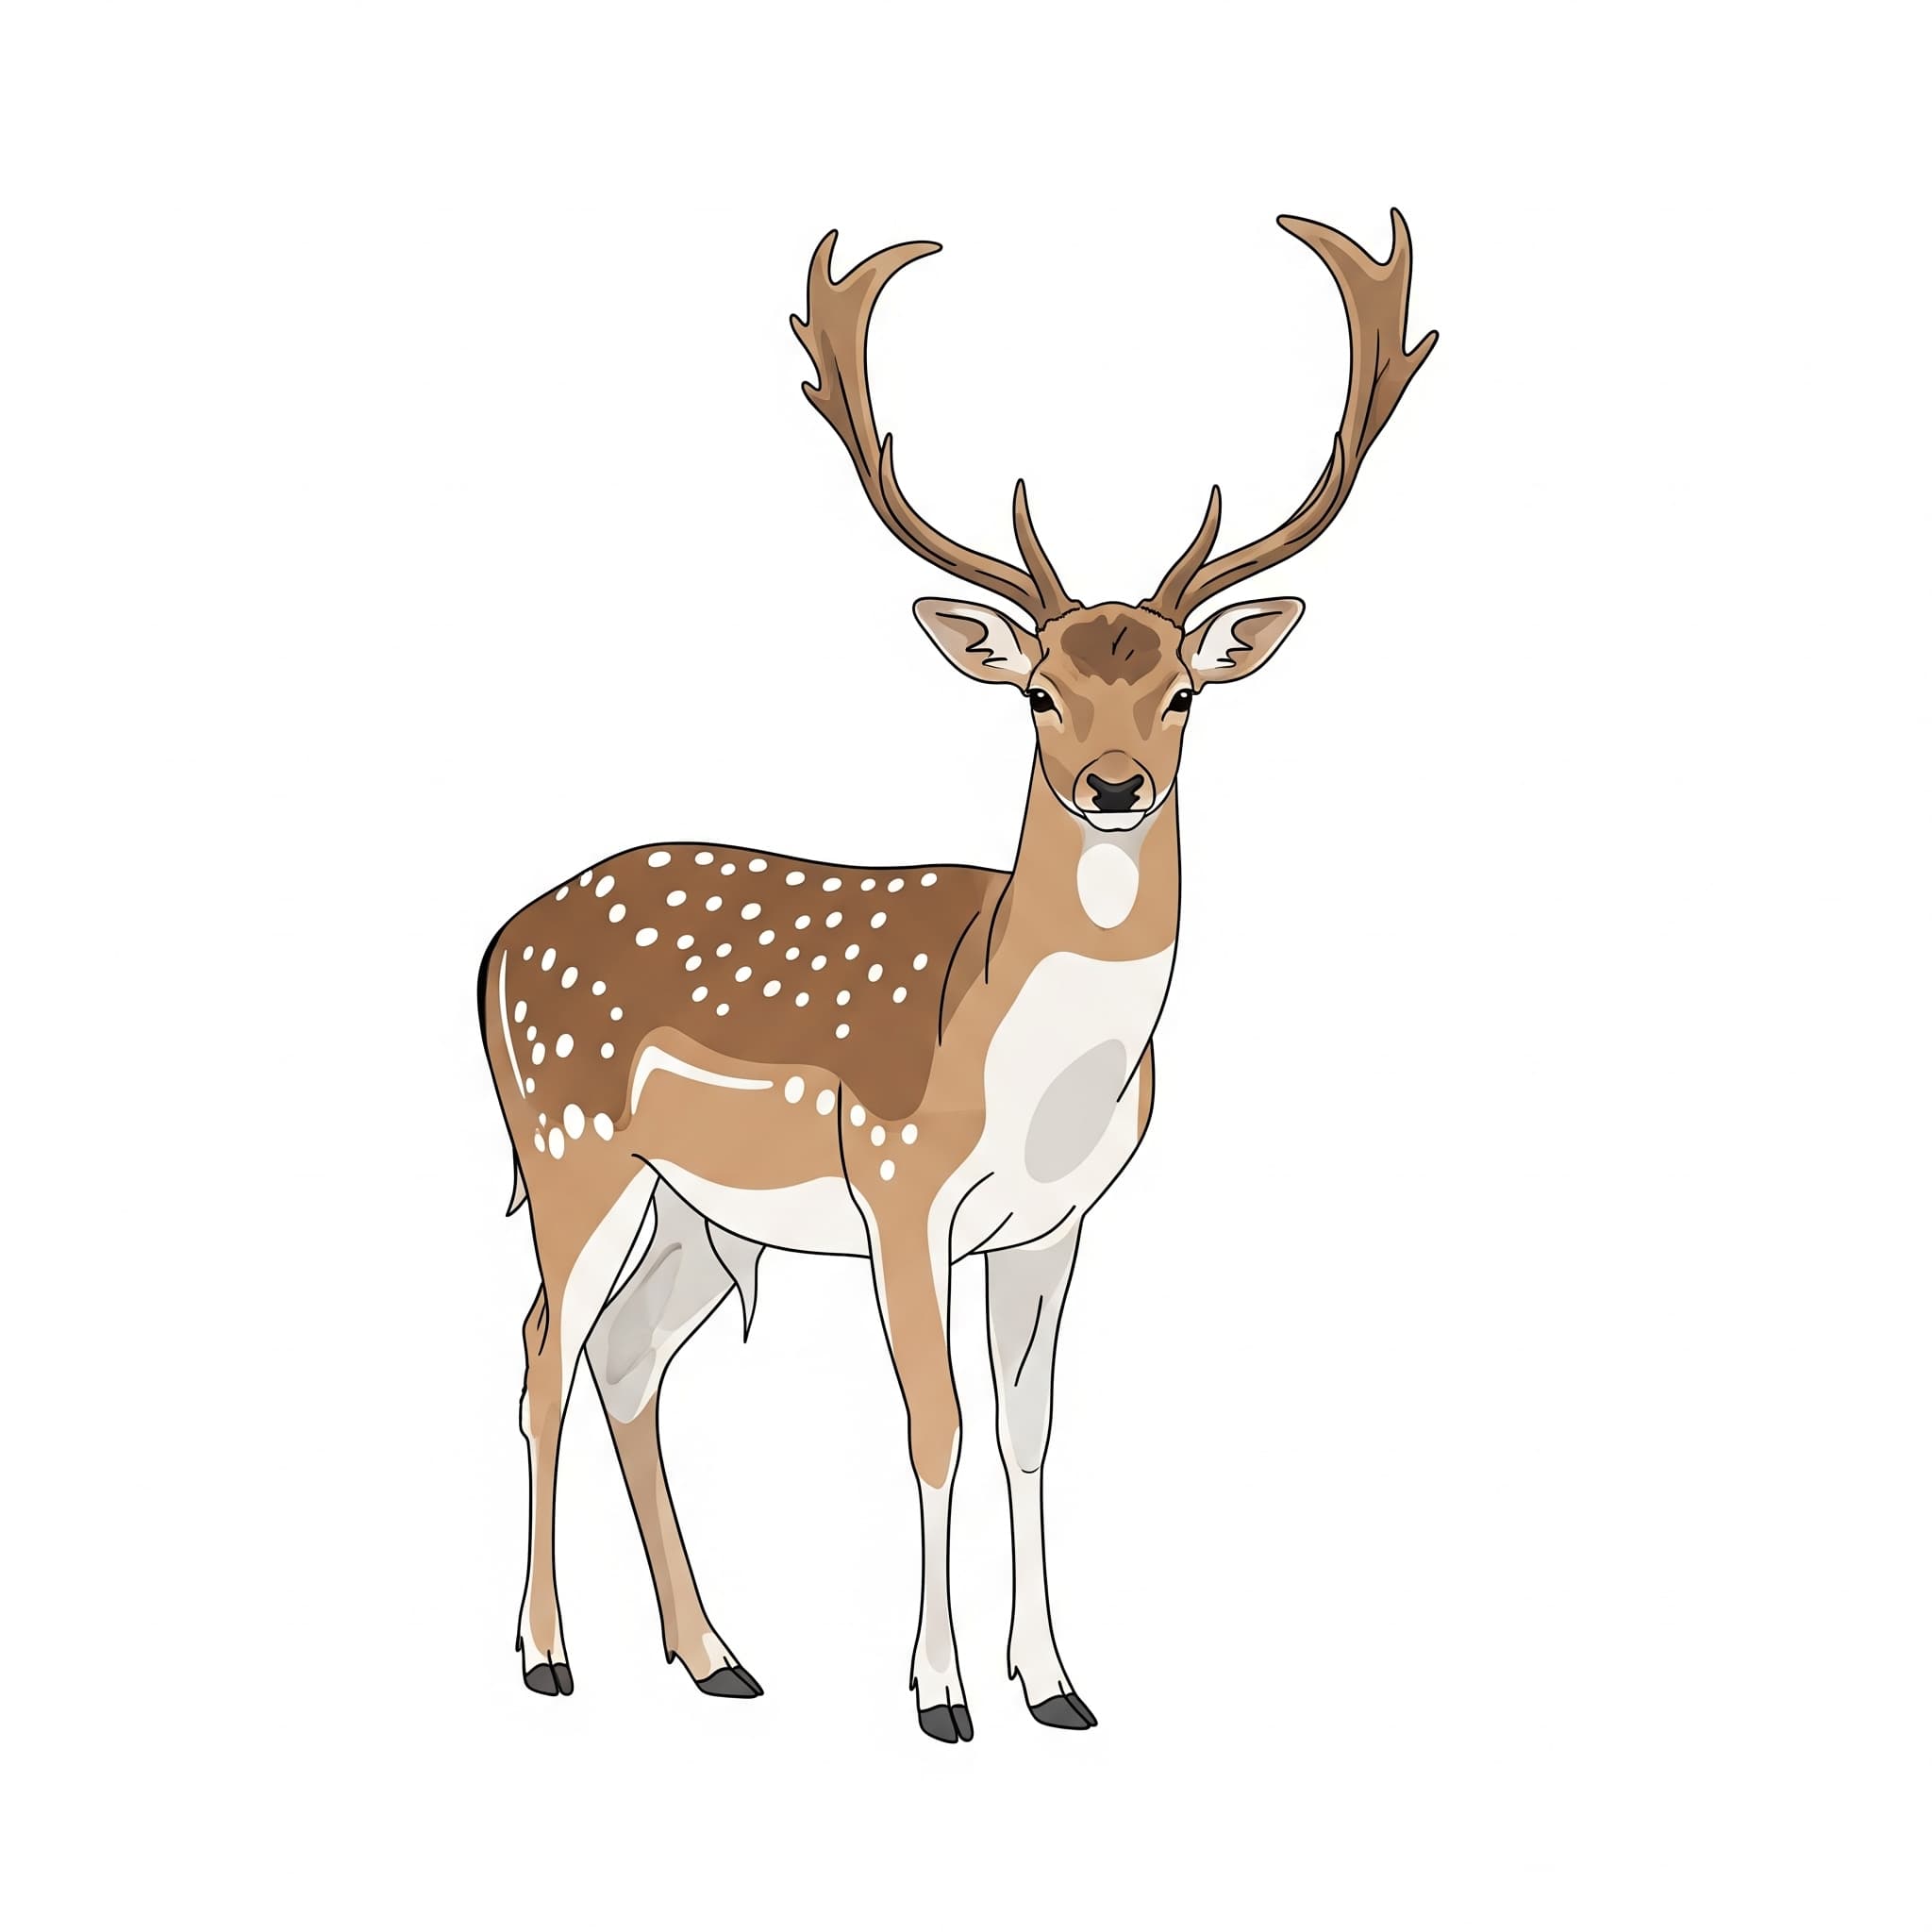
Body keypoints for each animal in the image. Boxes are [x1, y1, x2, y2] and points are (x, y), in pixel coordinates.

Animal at [478, 209, 1435, 1742]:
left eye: (1182, 692)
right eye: (1037, 689)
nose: (1114, 786)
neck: (1023, 1065)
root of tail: (496, 942)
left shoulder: (1054, 1220)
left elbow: (1030, 1433)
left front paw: (1054, 1683)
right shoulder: (898, 1187)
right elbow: (936, 1421)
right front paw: (937, 1694)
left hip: (698, 1209)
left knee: (625, 1359)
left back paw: (718, 1654)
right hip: (564, 1143)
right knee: (539, 1357)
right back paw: (546, 1654)